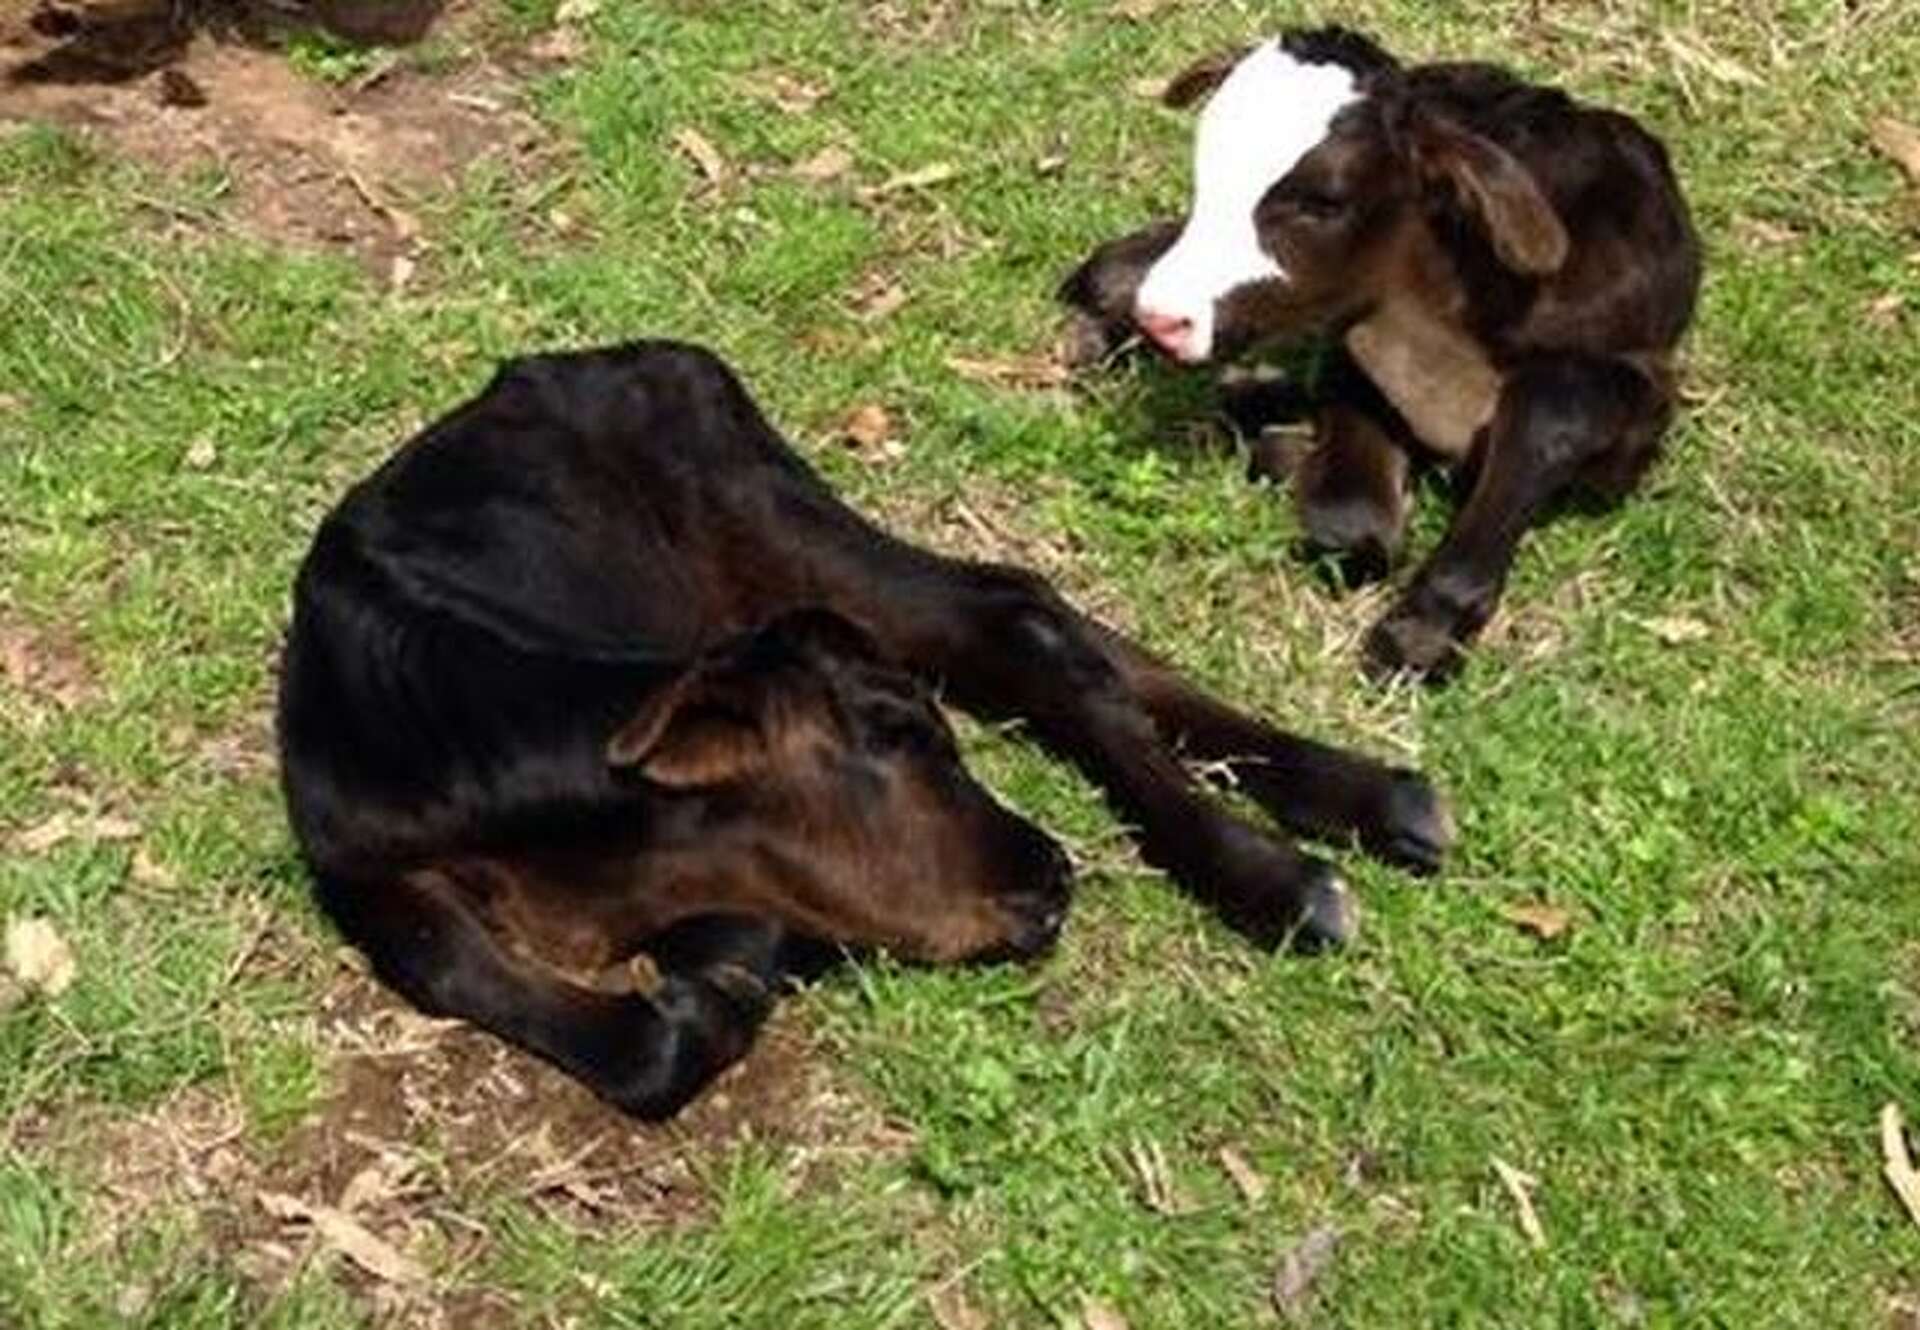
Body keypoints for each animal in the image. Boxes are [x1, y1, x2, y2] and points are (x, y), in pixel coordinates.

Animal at [277, 340, 1454, 1119]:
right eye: (905, 743)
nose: (1054, 870)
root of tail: (614, 355)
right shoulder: (356, 863)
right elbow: (477, 978)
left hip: (773, 524)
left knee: (1011, 620)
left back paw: (1285, 875)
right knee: (1043, 615)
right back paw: (1374, 801)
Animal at [1058, 25, 1701, 678]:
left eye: (1325, 202)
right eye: (1204, 169)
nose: (1162, 318)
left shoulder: (1632, 395)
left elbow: (1549, 418)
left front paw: (1424, 628)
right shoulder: (1357, 341)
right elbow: (1350, 518)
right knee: (1108, 273)